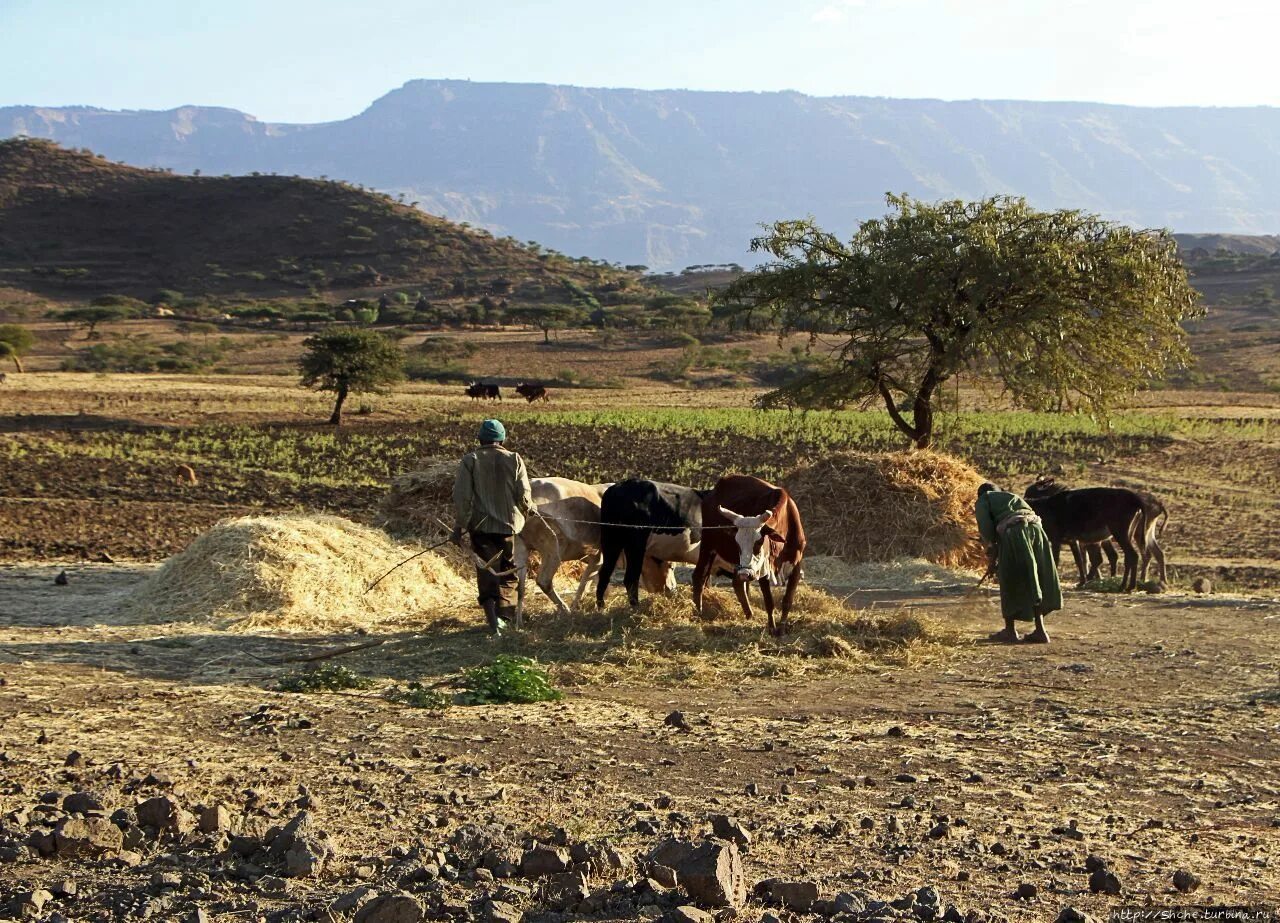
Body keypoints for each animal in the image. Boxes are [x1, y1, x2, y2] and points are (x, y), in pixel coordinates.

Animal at [596, 478, 706, 609]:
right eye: (672, 567)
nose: (673, 590)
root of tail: (619, 487)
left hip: (611, 541)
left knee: (604, 573)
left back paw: (601, 607)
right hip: (635, 544)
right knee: (630, 578)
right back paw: (636, 608)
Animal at [696, 476, 803, 634]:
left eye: (758, 542)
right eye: (737, 543)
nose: (745, 574)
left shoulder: (796, 566)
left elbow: (787, 600)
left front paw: (782, 629)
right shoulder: (763, 570)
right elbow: (769, 601)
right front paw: (772, 628)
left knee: (736, 583)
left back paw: (749, 614)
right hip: (708, 545)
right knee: (699, 576)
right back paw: (699, 613)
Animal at [1018, 476, 1172, 591]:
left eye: (1030, 491)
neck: (1045, 507)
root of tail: (1137, 500)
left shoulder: (1057, 540)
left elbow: (1057, 560)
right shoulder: (1073, 540)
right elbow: (1080, 560)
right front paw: (1082, 582)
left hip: (1121, 533)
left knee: (1133, 555)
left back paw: (1127, 586)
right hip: (1131, 534)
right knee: (1136, 556)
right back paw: (1128, 585)